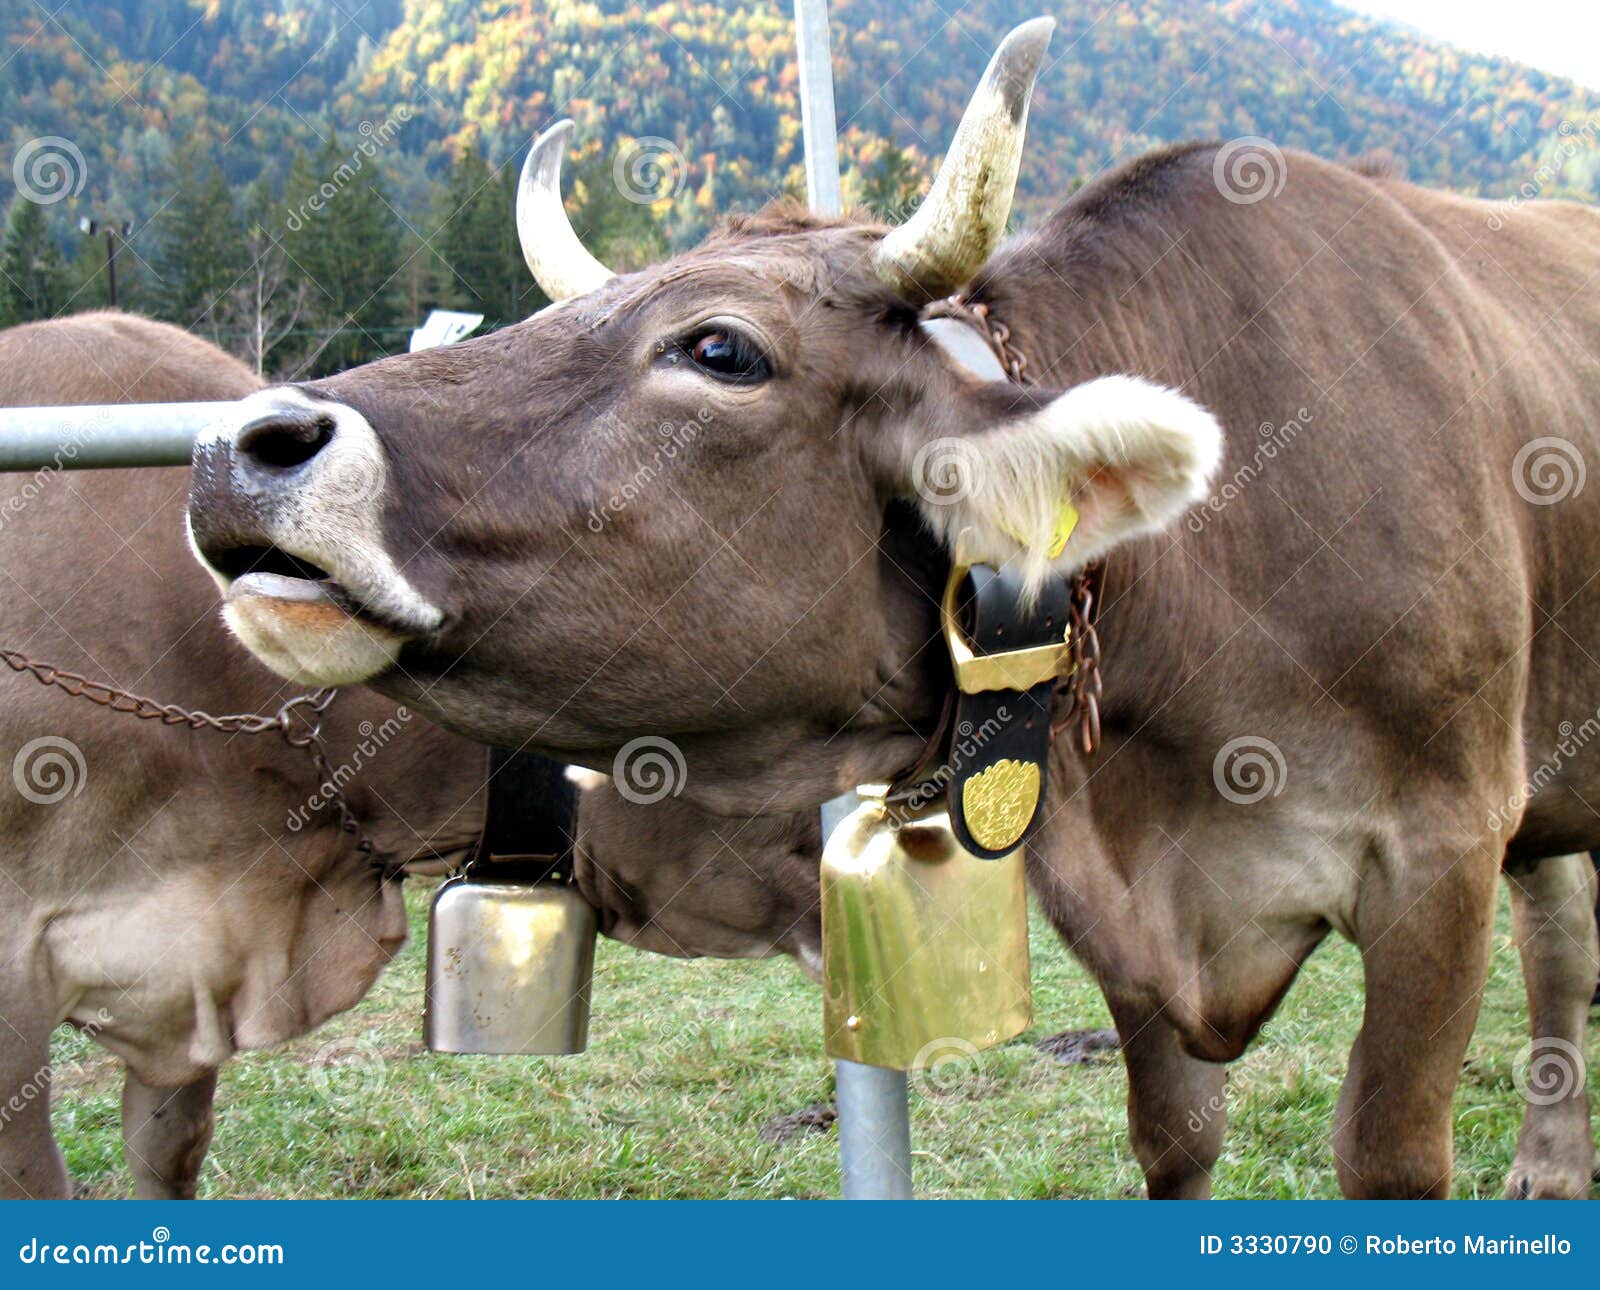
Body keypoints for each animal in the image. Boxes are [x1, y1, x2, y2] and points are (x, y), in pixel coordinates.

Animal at [184, 17, 1600, 1198]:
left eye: (719, 349)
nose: (237, 448)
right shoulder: (1116, 915)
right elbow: (1175, 1141)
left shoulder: (1440, 852)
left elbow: (1388, 1156)